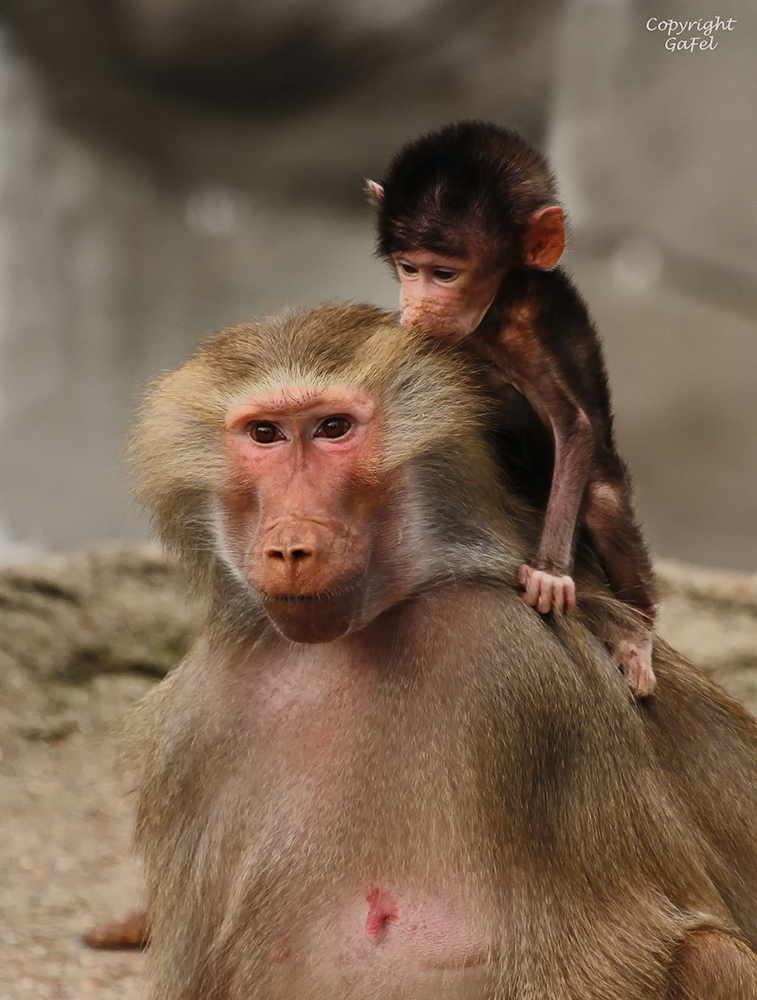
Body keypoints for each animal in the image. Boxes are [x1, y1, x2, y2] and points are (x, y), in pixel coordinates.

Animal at [126, 302, 757, 999]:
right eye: (264, 433)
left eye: (333, 428)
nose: (291, 546)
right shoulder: (192, 736)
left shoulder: (520, 676)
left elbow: (606, 953)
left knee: (708, 955)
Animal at [367, 121, 658, 698]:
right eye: (409, 268)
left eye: (444, 274)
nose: (417, 305)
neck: (492, 309)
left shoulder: (524, 334)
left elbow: (574, 426)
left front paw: (548, 572)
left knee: (602, 500)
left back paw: (637, 636)